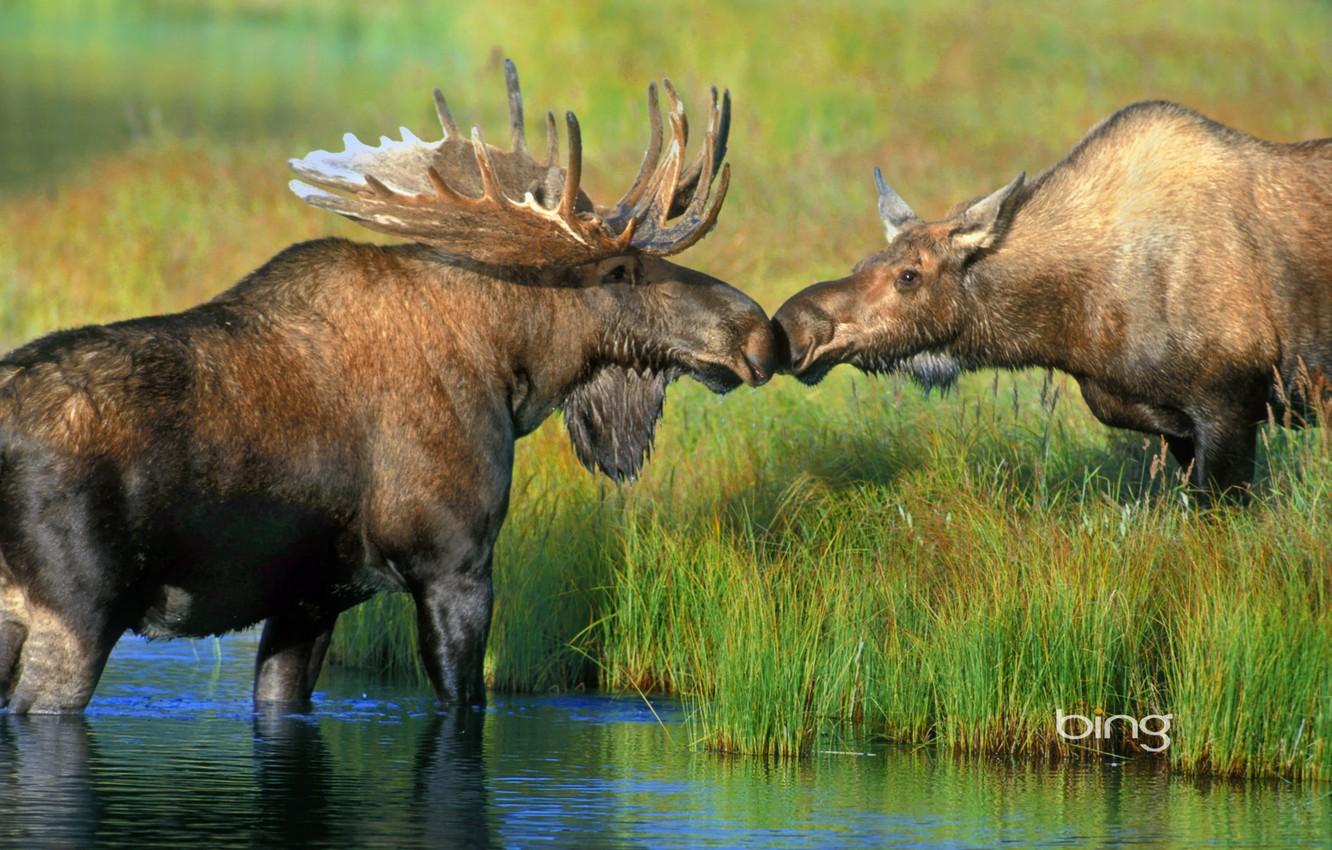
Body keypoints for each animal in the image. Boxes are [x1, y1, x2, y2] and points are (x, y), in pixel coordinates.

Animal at [0, 61, 776, 714]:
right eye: (624, 272)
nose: (760, 333)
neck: (509, 371)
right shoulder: (456, 563)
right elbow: (464, 703)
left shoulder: (309, 599)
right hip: (76, 605)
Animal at [774, 101, 1332, 499]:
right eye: (862, 263)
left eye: (909, 275)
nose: (794, 324)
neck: (1073, 327)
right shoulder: (1173, 424)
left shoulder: (1229, 405)